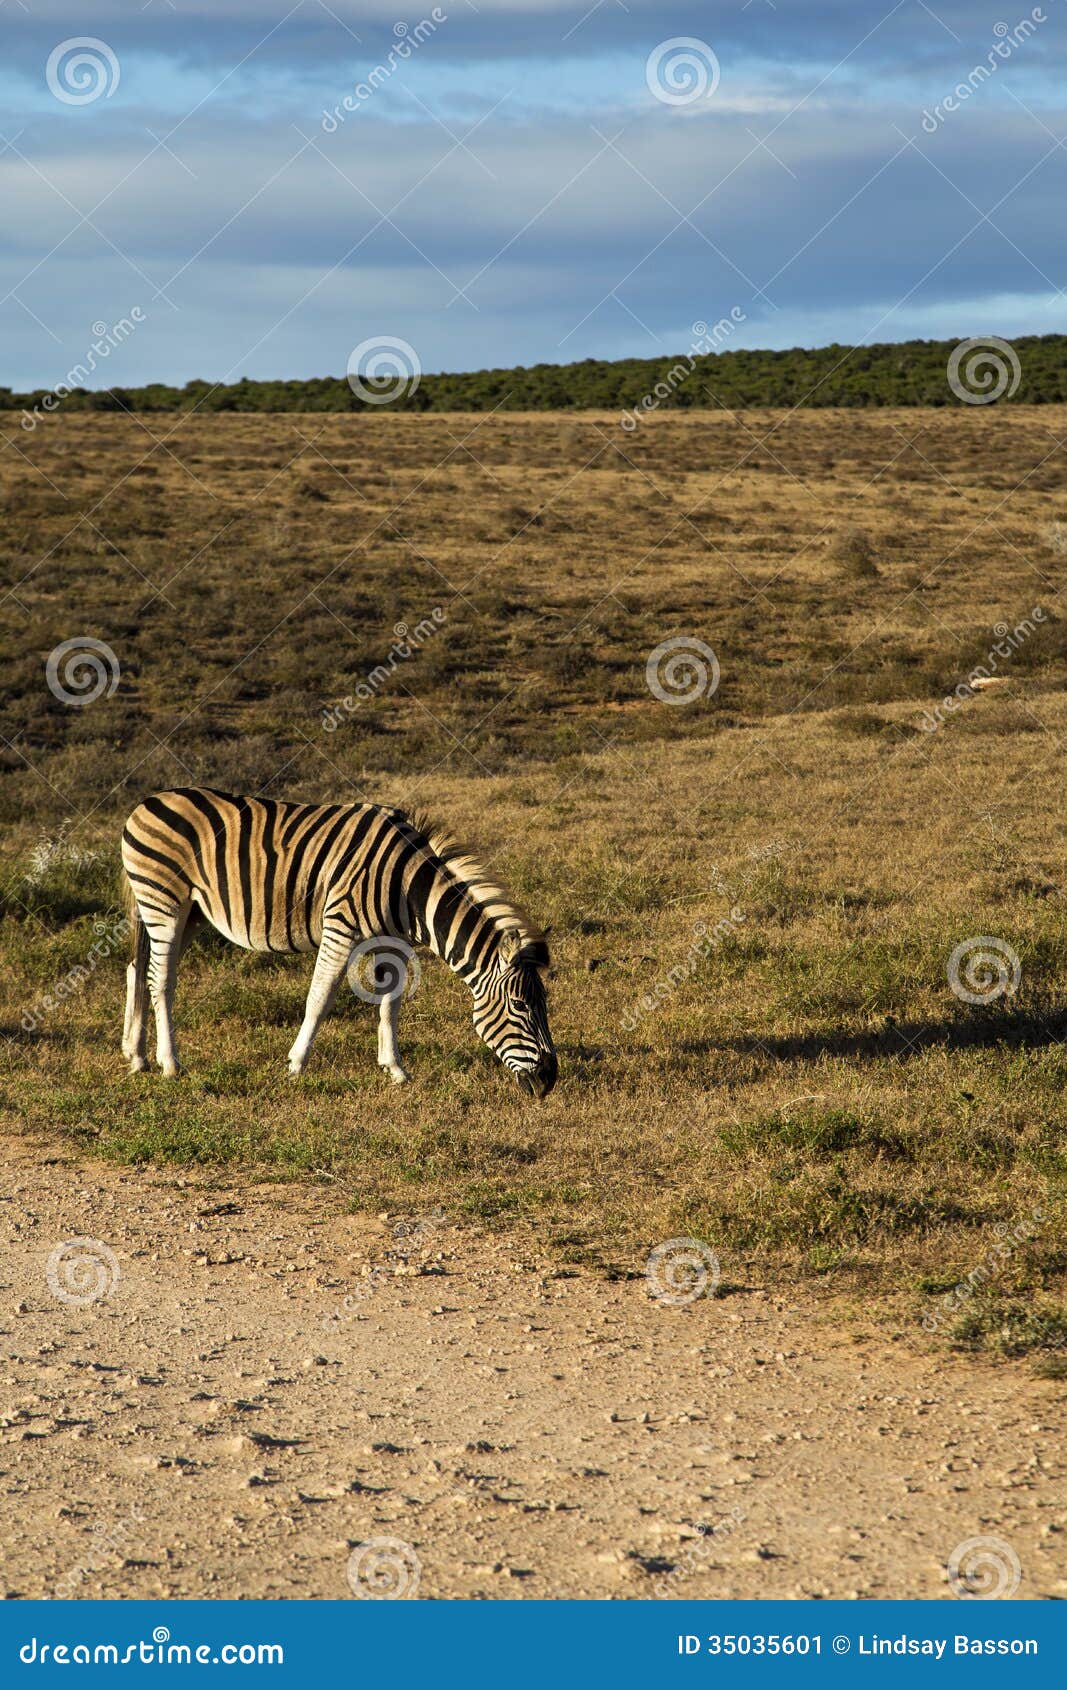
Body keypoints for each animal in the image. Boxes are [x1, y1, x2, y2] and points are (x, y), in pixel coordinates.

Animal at [120, 788, 557, 1097]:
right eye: (520, 1006)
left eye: (544, 1004)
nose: (549, 1081)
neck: (407, 886)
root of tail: (147, 801)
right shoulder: (340, 924)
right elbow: (320, 996)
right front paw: (296, 1064)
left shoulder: (393, 941)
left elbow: (391, 1003)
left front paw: (395, 1068)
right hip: (165, 900)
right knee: (161, 979)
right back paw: (170, 1064)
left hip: (189, 911)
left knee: (139, 969)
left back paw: (136, 1055)